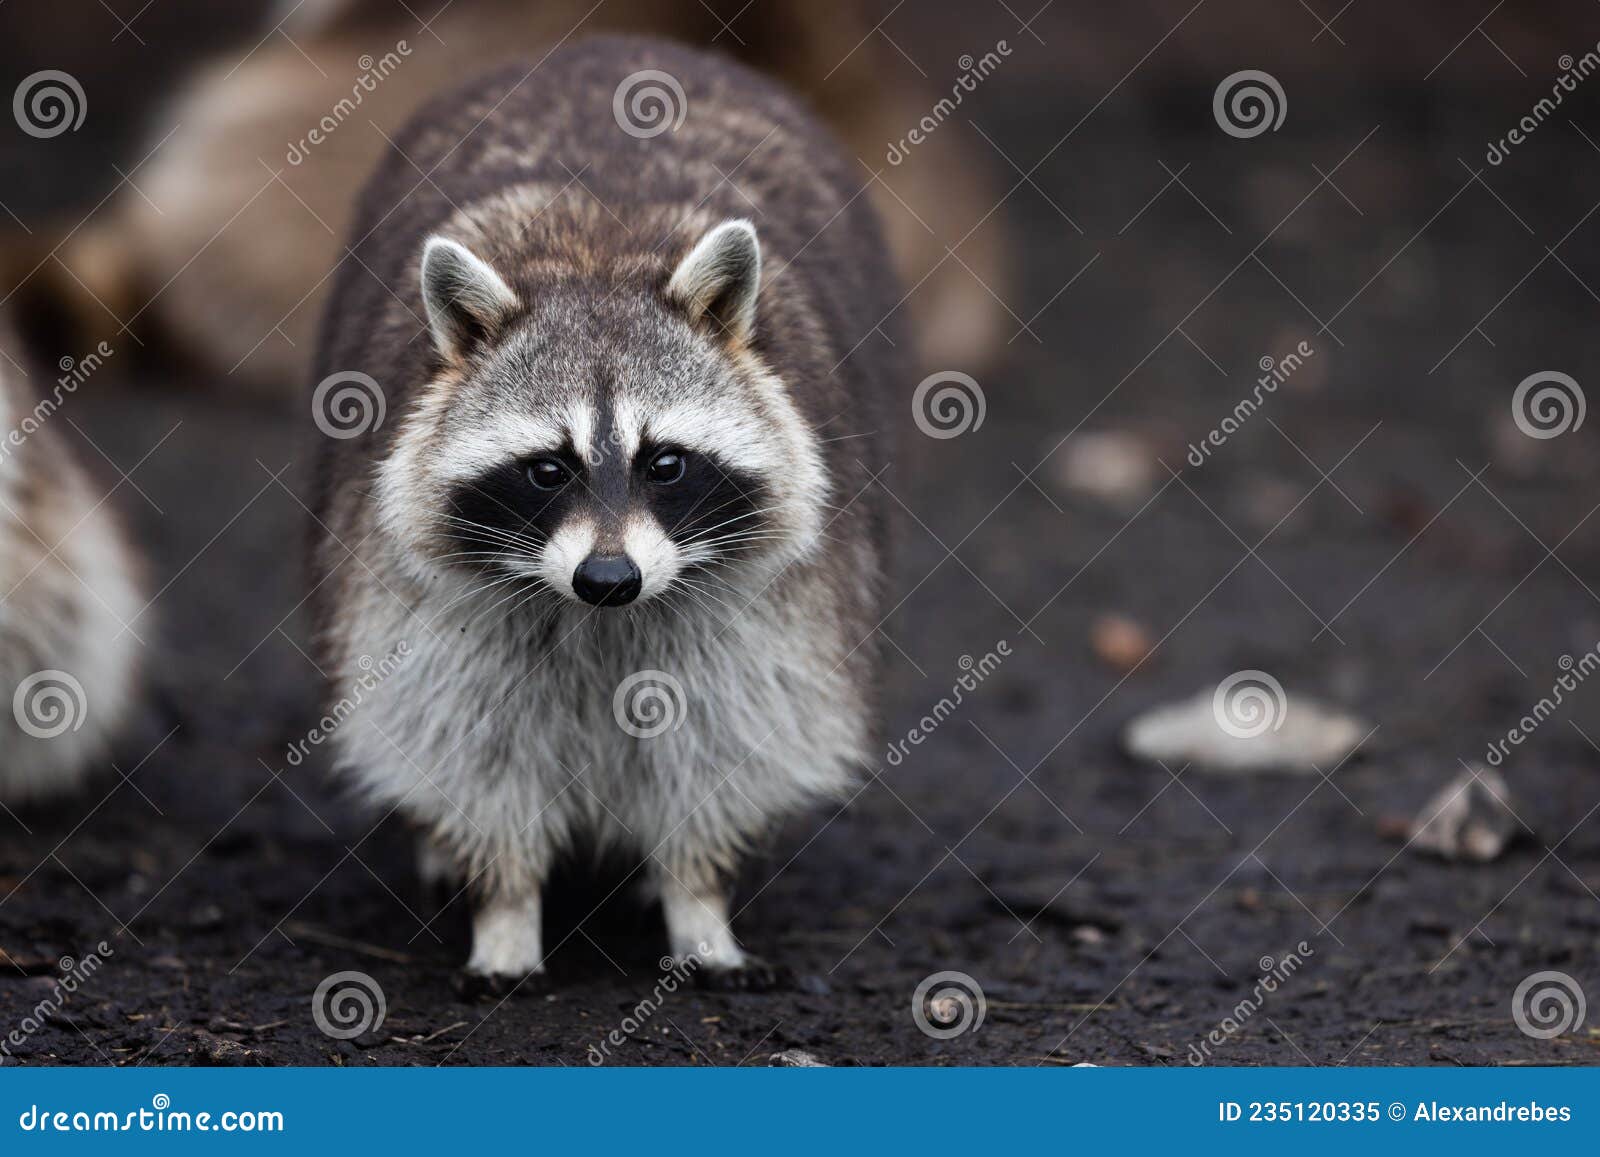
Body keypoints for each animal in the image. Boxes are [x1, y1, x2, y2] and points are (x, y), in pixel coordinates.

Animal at [311, 36, 898, 983]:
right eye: (548, 470)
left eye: (666, 463)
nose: (609, 577)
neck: (597, 260)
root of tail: (612, 44)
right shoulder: (427, 601)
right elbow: (464, 739)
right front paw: (504, 907)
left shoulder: (771, 611)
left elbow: (730, 732)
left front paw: (699, 901)